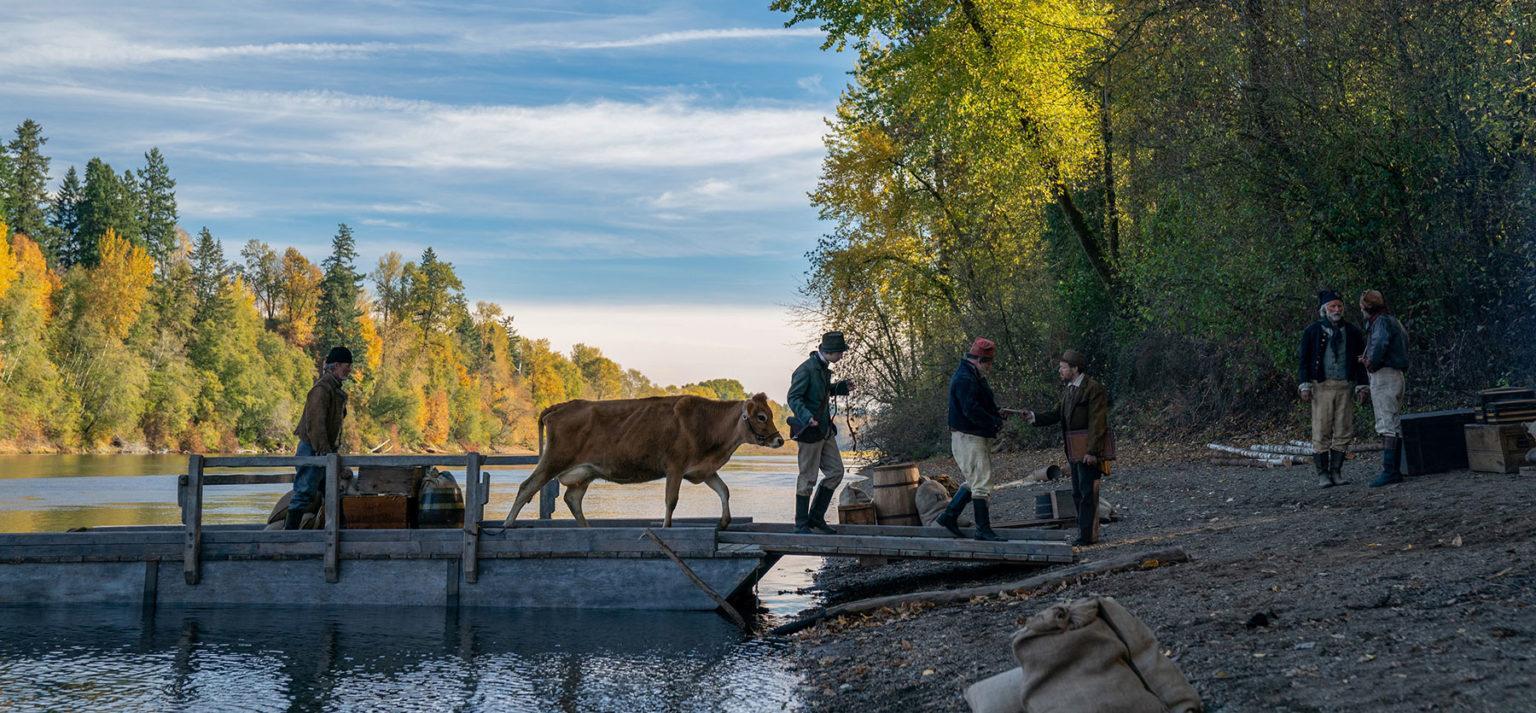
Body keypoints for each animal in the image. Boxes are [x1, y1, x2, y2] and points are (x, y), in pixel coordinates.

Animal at [502, 392, 785, 528]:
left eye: (769, 414)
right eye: (761, 416)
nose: (780, 440)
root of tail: (562, 406)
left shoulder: (702, 470)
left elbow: (724, 491)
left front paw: (725, 521)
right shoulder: (675, 466)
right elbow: (671, 500)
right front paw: (666, 526)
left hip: (584, 473)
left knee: (572, 499)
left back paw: (587, 528)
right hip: (554, 459)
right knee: (527, 486)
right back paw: (507, 524)